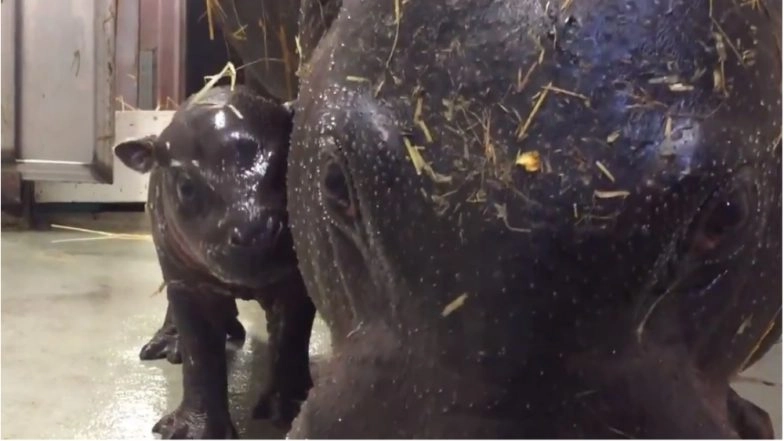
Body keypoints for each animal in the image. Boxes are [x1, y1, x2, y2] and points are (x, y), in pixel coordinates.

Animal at [114, 85, 315, 438]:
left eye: (285, 166)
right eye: (185, 185)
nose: (255, 234)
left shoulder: (295, 282)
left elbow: (291, 338)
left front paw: (290, 411)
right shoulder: (188, 283)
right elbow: (200, 352)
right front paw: (192, 431)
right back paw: (166, 347)